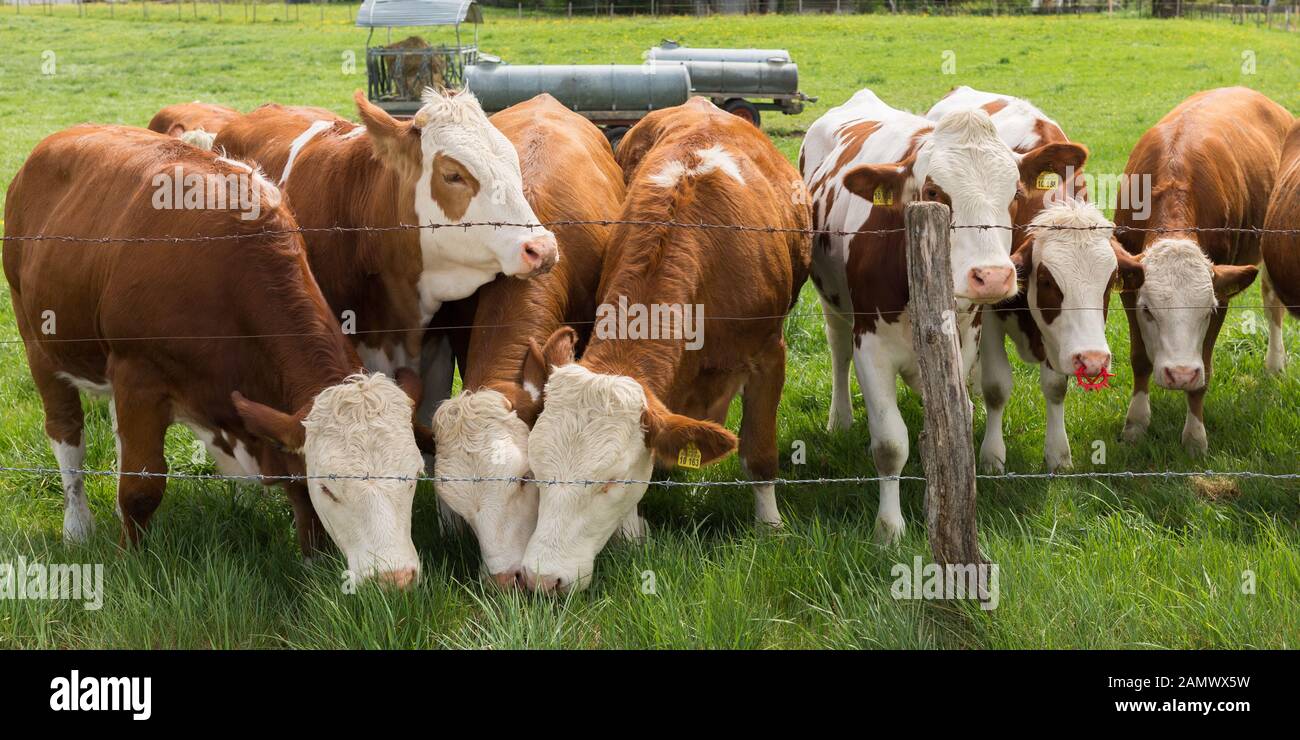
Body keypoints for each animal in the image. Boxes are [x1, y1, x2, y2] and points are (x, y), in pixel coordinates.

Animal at [4, 126, 425, 586]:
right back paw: (77, 526)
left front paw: (312, 564)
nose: (395, 578)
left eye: (415, 474)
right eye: (330, 487)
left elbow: (296, 487)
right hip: (37, 340)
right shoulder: (138, 374)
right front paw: (127, 562)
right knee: (67, 436)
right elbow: (141, 485)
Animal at [517, 97, 811, 593]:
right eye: (536, 471)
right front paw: (633, 532)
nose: (540, 579)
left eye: (611, 480)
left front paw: (770, 527)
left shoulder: (770, 354)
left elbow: (759, 452)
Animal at [801, 88, 1075, 543]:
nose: (993, 276)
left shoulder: (962, 342)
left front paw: (941, 500)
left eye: (1016, 195)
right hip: (832, 302)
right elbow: (890, 443)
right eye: (933, 190)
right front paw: (889, 529)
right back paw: (840, 419)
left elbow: (947, 426)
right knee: (838, 350)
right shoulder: (871, 347)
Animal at [926, 87, 1105, 473]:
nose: (1093, 360)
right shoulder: (991, 310)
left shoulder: (1057, 335)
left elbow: (1055, 385)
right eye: (1049, 282)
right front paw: (992, 455)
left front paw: (1058, 454)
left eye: (1109, 283)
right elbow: (996, 386)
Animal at [1112, 88, 1291, 455]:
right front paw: (1135, 424)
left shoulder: (1221, 294)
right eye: (1149, 310)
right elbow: (1139, 358)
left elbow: (1204, 371)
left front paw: (1195, 437)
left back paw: (1274, 363)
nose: (1180, 374)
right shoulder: (1129, 289)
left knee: (1272, 302)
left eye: (1205, 310)